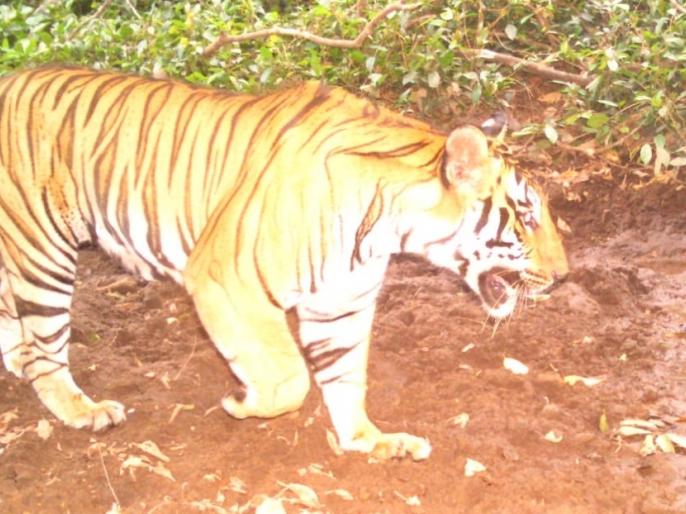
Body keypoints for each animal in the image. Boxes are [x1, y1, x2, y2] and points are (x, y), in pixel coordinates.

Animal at [0, 66, 568, 461]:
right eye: (526, 216)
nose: (564, 276)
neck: (386, 227)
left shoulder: (342, 302)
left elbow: (345, 377)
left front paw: (368, 440)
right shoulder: (226, 281)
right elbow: (291, 376)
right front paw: (242, 403)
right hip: (44, 249)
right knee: (48, 350)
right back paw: (83, 409)